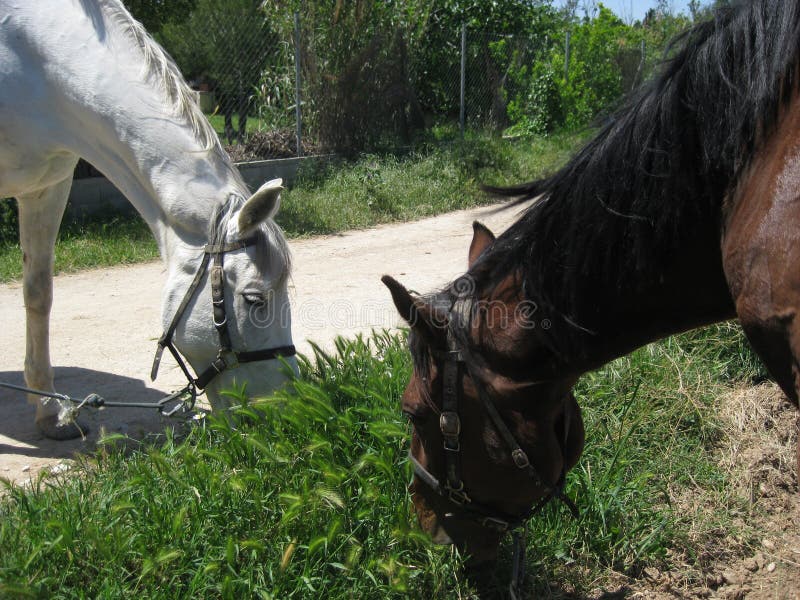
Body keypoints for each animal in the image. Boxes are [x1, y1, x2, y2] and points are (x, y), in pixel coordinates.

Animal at [0, 0, 298, 440]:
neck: (30, 58)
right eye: (254, 299)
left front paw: (51, 412)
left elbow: (38, 294)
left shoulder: (48, 187)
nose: (282, 410)